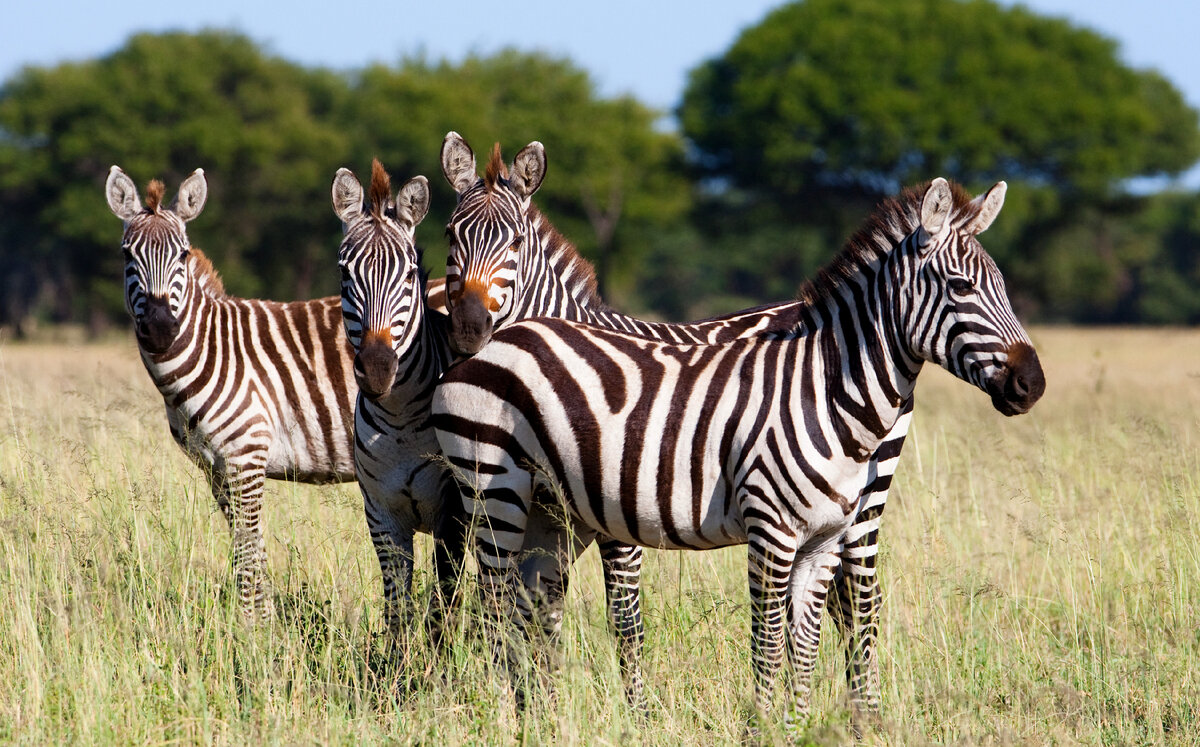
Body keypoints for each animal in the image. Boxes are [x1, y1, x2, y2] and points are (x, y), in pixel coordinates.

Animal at [106, 165, 359, 622]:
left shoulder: (247, 456)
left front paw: (250, 629)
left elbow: (246, 543)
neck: (211, 350)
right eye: (126, 256)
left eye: (183, 255)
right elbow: (249, 547)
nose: (160, 328)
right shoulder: (216, 467)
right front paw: (263, 623)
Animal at [432, 177, 1045, 722]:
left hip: (545, 507)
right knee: (491, 608)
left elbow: (804, 644)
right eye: (961, 287)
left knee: (524, 606)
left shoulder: (821, 539)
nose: (1032, 384)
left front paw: (795, 728)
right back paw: (499, 719)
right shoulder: (769, 531)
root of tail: (494, 344)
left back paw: (536, 719)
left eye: (1002, 285)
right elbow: (766, 643)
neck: (825, 390)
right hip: (494, 489)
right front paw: (763, 726)